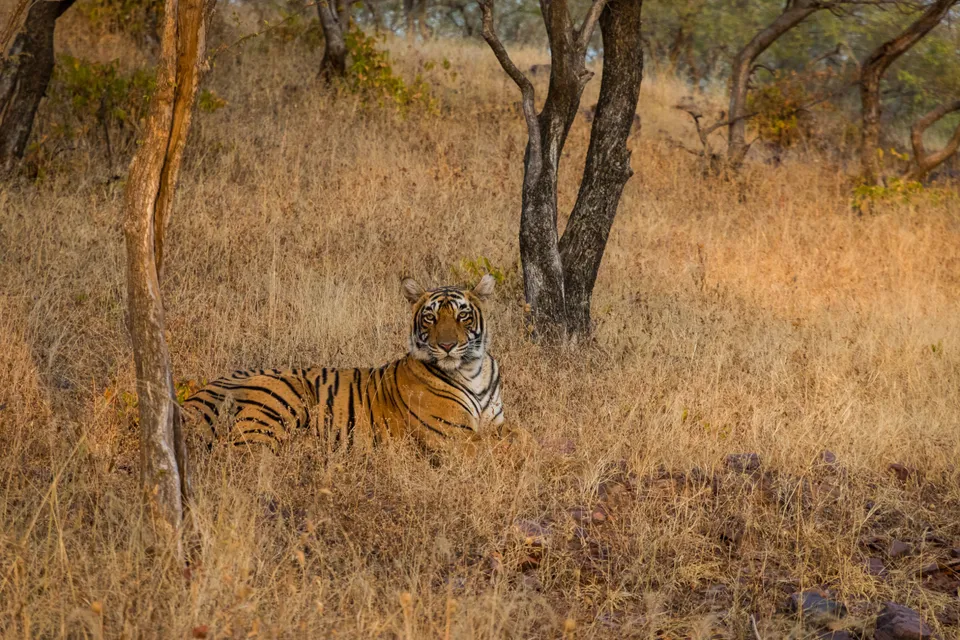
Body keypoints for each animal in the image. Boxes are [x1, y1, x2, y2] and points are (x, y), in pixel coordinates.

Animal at [181, 275, 505, 454]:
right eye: (430, 317)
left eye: (462, 315)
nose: (447, 345)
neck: (471, 371)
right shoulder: (456, 437)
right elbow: (508, 450)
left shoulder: (494, 426)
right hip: (282, 398)